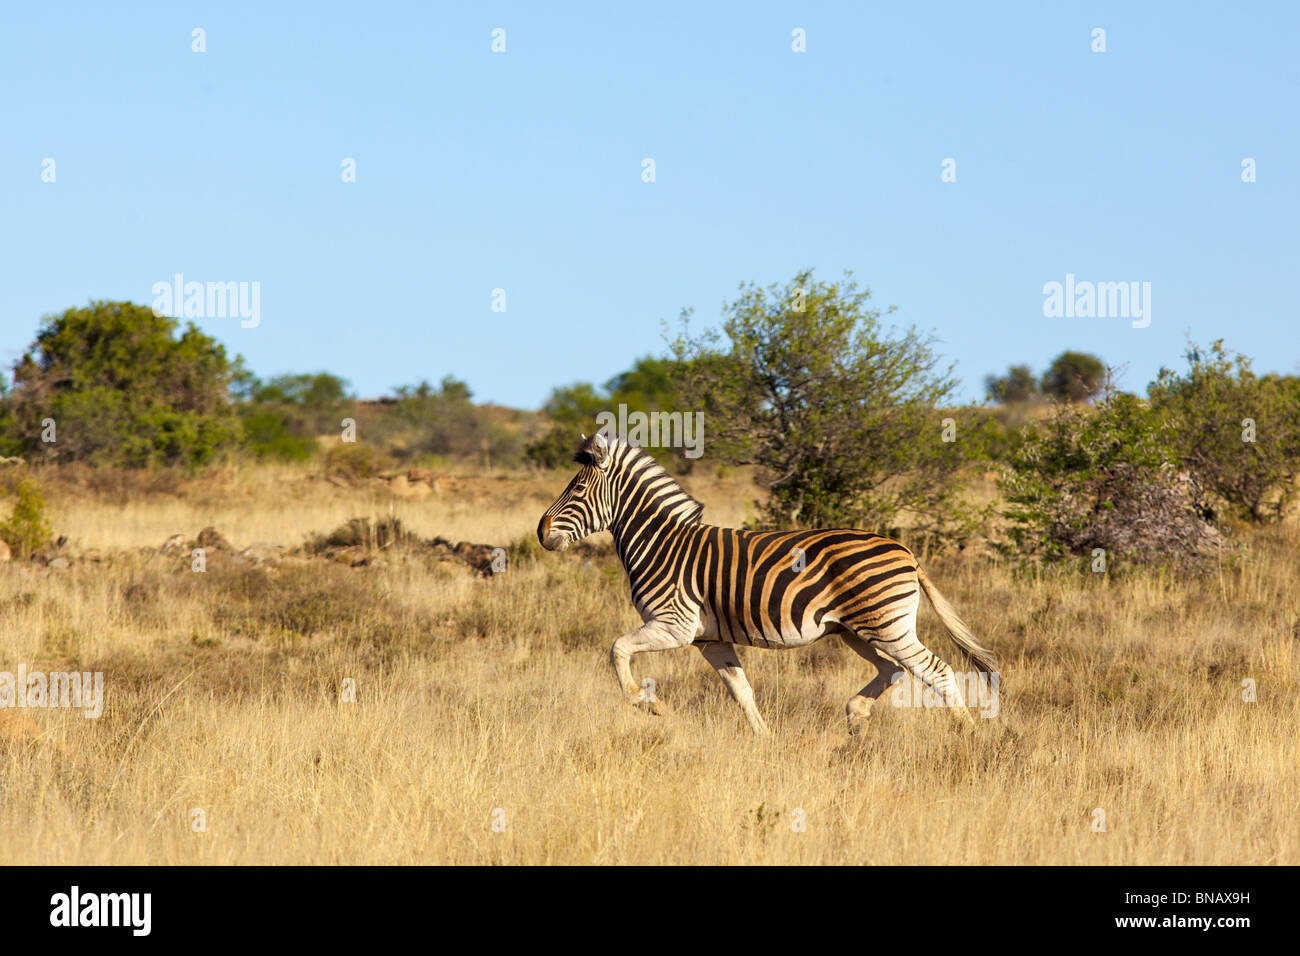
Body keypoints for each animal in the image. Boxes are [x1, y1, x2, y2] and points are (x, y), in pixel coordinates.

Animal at [537, 432, 999, 735]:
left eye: (577, 488)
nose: (541, 533)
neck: (661, 542)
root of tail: (905, 550)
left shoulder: (674, 625)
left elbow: (617, 649)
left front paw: (648, 704)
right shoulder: (710, 638)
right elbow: (742, 691)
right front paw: (765, 742)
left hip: (885, 625)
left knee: (936, 671)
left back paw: (967, 737)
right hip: (858, 629)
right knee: (894, 668)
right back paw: (856, 714)